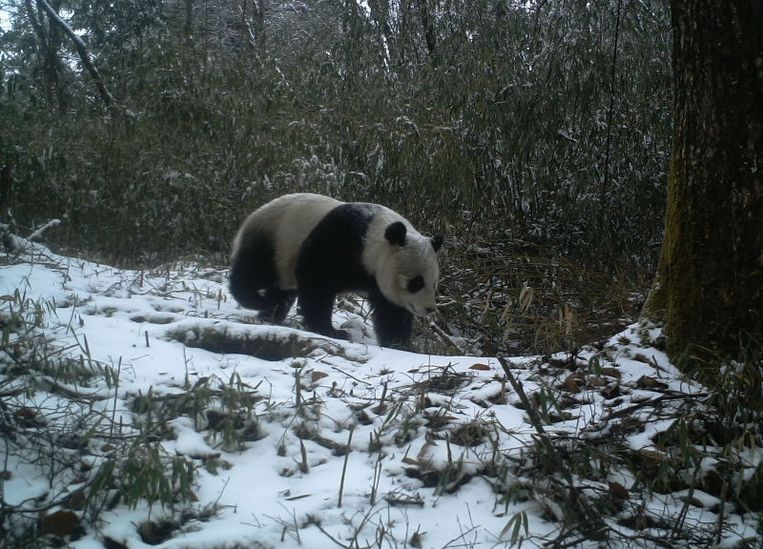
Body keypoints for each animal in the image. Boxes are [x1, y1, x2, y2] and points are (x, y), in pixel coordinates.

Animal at [229, 193, 443, 348]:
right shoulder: (339, 241)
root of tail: (257, 212)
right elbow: (317, 284)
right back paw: (258, 300)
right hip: (275, 239)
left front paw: (398, 344)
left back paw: (271, 312)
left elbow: (392, 311)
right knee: (252, 271)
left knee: (282, 290)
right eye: (416, 282)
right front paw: (332, 331)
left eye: (433, 284)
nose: (429, 308)